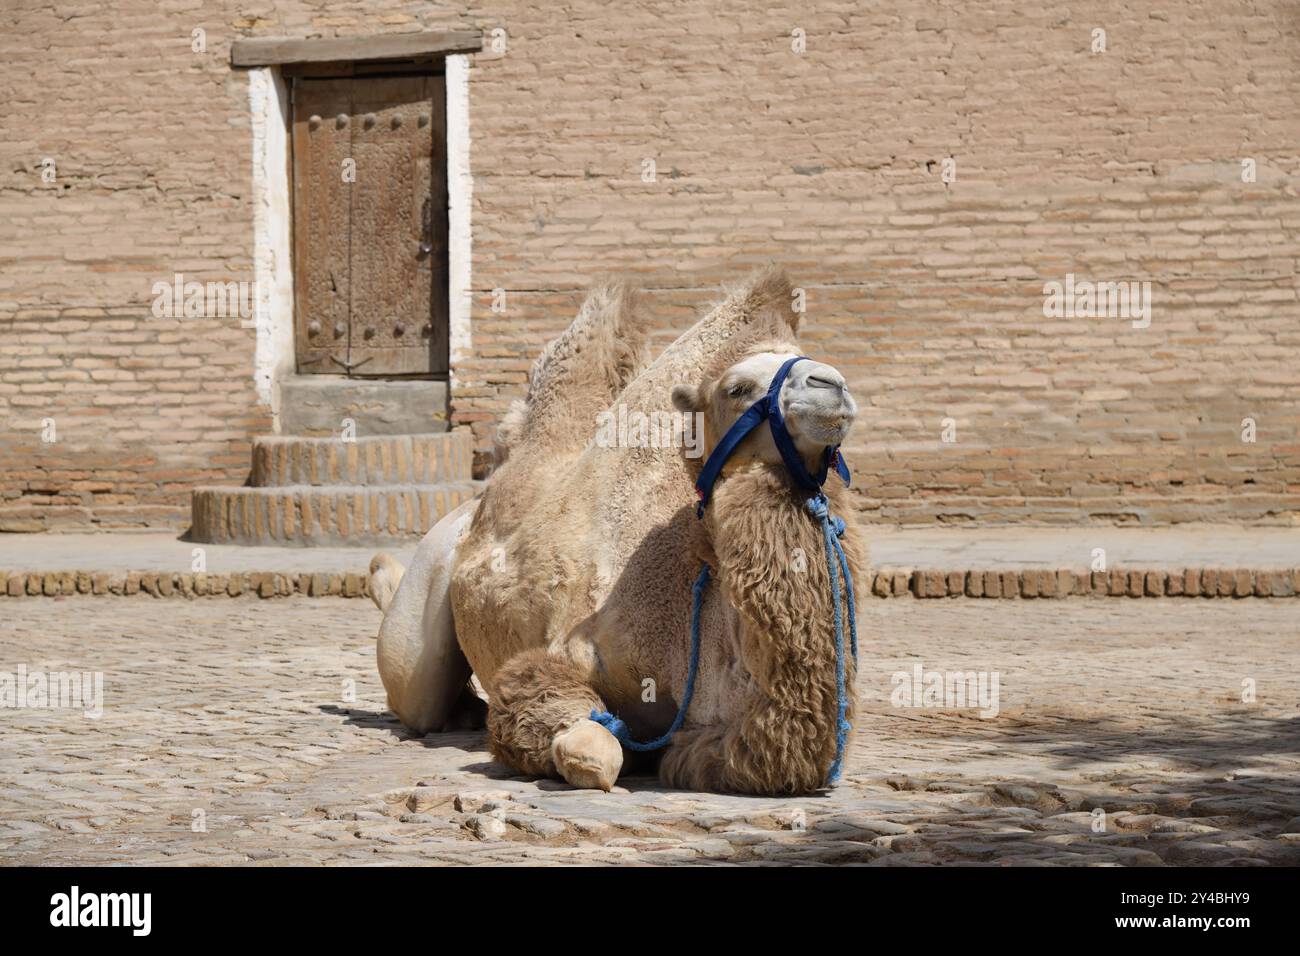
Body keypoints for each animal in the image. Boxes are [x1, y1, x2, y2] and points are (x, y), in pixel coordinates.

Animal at [370, 267, 864, 796]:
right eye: (736, 388)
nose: (831, 384)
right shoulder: (563, 656)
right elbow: (594, 749)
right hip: (428, 592)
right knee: (417, 693)